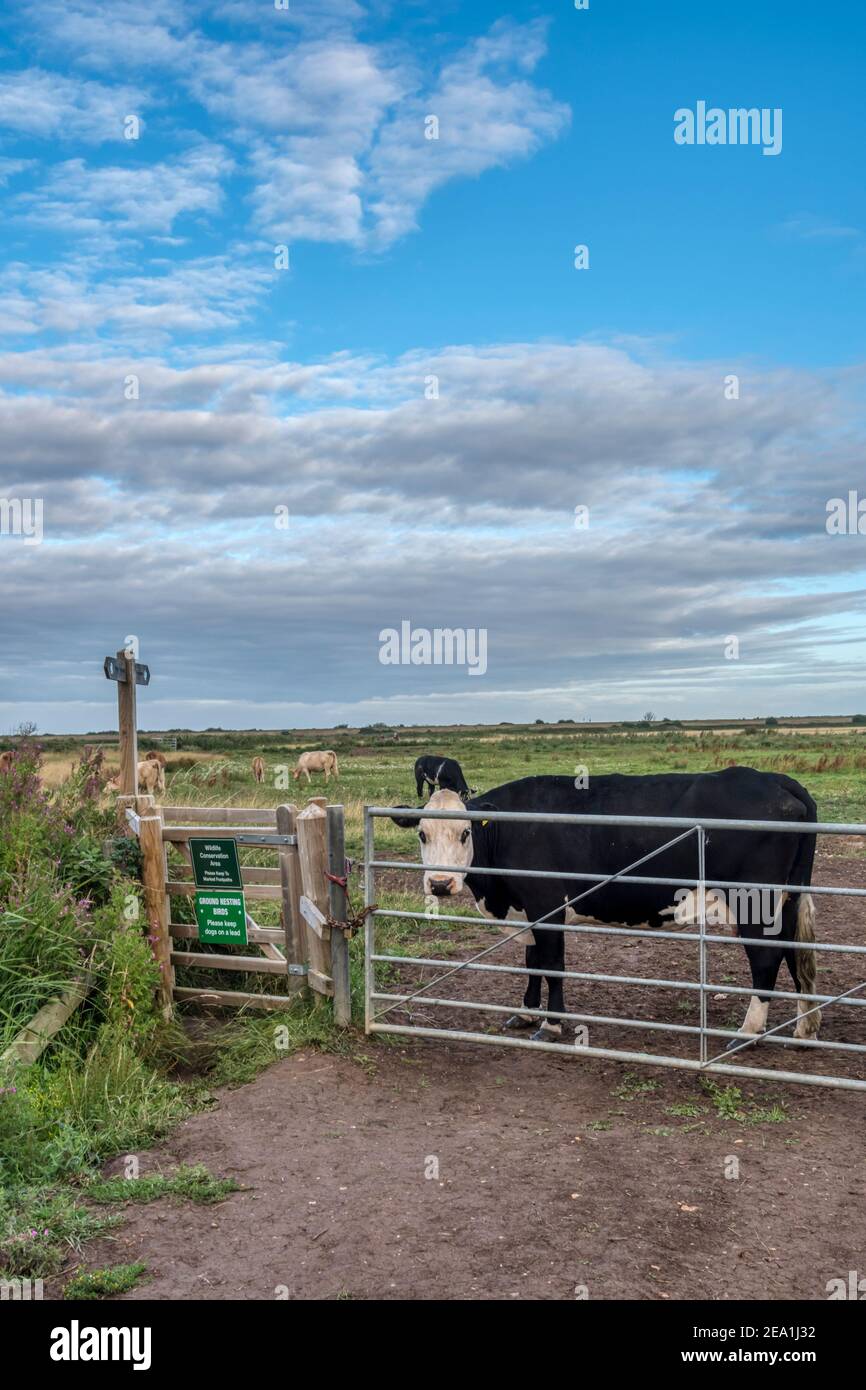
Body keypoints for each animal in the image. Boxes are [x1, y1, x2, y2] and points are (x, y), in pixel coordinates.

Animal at [390, 768, 820, 1048]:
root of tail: (775, 779)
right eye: (422, 834)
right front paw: (526, 1013)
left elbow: (552, 965)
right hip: (785, 898)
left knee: (766, 958)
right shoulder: (526, 911)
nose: (440, 884)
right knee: (793, 951)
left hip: (753, 901)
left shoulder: (547, 906)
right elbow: (531, 962)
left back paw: (748, 1033)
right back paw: (804, 1028)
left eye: (465, 833)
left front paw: (552, 1025)